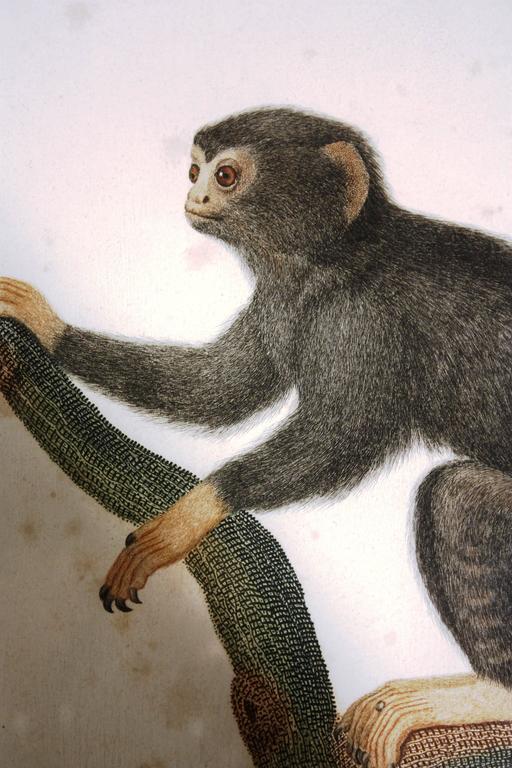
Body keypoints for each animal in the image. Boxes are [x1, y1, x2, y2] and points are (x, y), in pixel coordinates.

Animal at [1, 107, 512, 766]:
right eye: (194, 171)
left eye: (224, 175)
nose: (191, 195)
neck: (336, 262)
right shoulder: (284, 299)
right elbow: (226, 390)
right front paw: (48, 326)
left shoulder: (363, 319)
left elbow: (342, 438)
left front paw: (190, 515)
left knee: (457, 494)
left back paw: (492, 693)